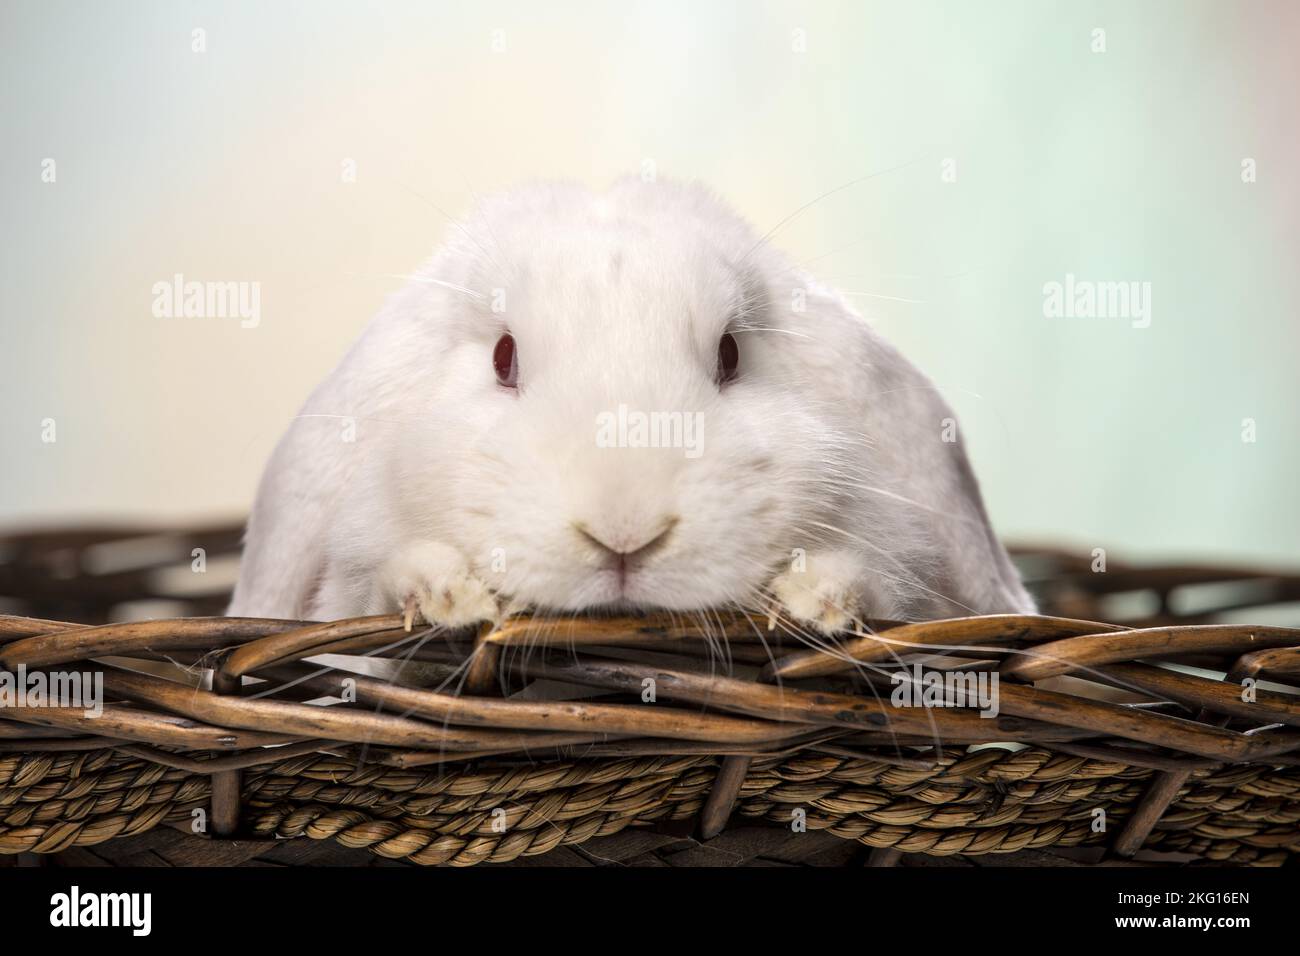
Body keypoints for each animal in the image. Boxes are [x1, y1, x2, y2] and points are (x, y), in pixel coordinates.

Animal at [229, 178, 1034, 637]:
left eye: (730, 354)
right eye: (503, 357)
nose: (625, 535)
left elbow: (884, 581)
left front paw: (816, 598)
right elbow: (369, 591)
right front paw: (446, 594)